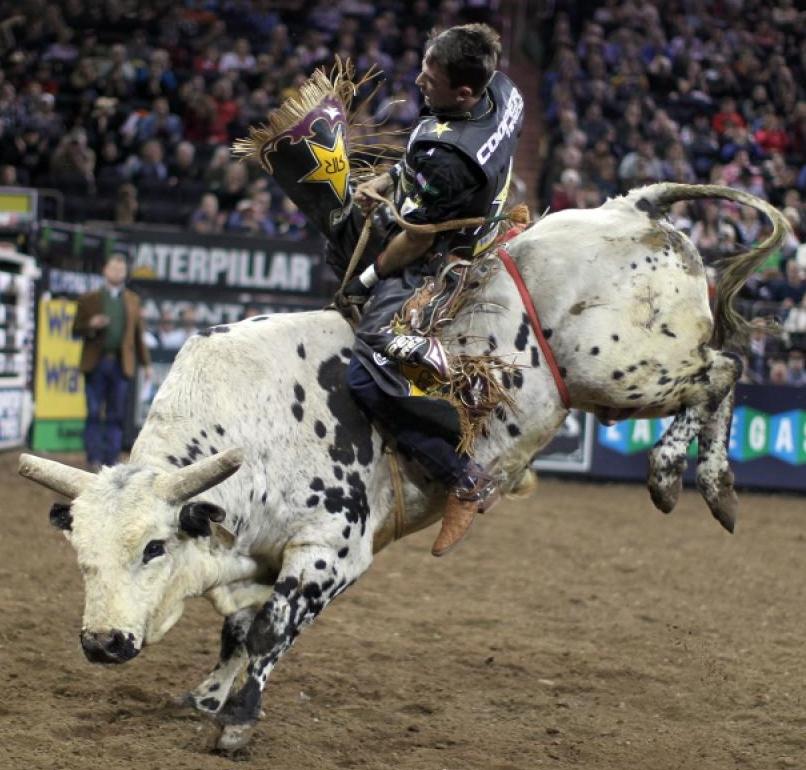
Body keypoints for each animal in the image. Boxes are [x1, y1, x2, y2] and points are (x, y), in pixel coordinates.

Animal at [19, 182, 788, 752]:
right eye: (80, 556)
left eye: (153, 546)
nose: (103, 643)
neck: (254, 429)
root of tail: (633, 207)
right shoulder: (245, 555)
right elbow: (240, 626)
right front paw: (209, 695)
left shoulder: (331, 552)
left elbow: (270, 627)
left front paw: (236, 721)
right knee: (720, 372)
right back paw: (711, 488)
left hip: (629, 370)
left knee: (722, 369)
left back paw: (681, 476)